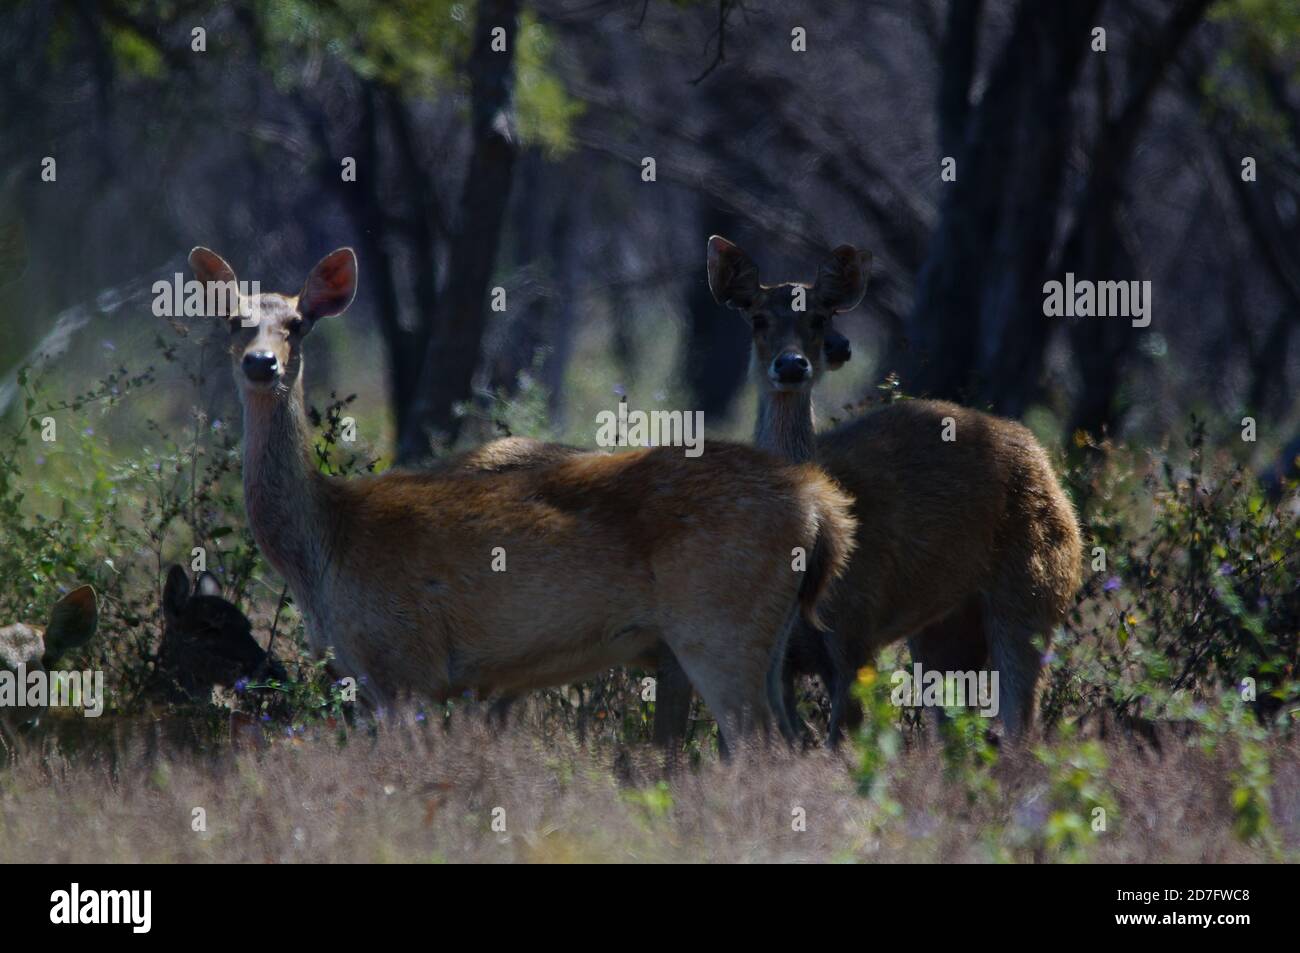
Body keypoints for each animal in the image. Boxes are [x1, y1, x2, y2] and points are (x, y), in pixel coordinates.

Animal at [187, 246, 857, 750]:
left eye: (297, 324)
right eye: (233, 322)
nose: (262, 362)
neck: (325, 547)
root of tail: (820, 506)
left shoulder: (406, 663)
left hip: (716, 623)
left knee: (762, 745)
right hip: (769, 636)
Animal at [701, 235, 1084, 742]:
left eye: (819, 317)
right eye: (757, 318)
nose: (792, 364)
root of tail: (1048, 469)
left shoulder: (854, 635)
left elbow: (841, 741)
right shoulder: (776, 659)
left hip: (1033, 592)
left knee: (1020, 725)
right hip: (944, 631)